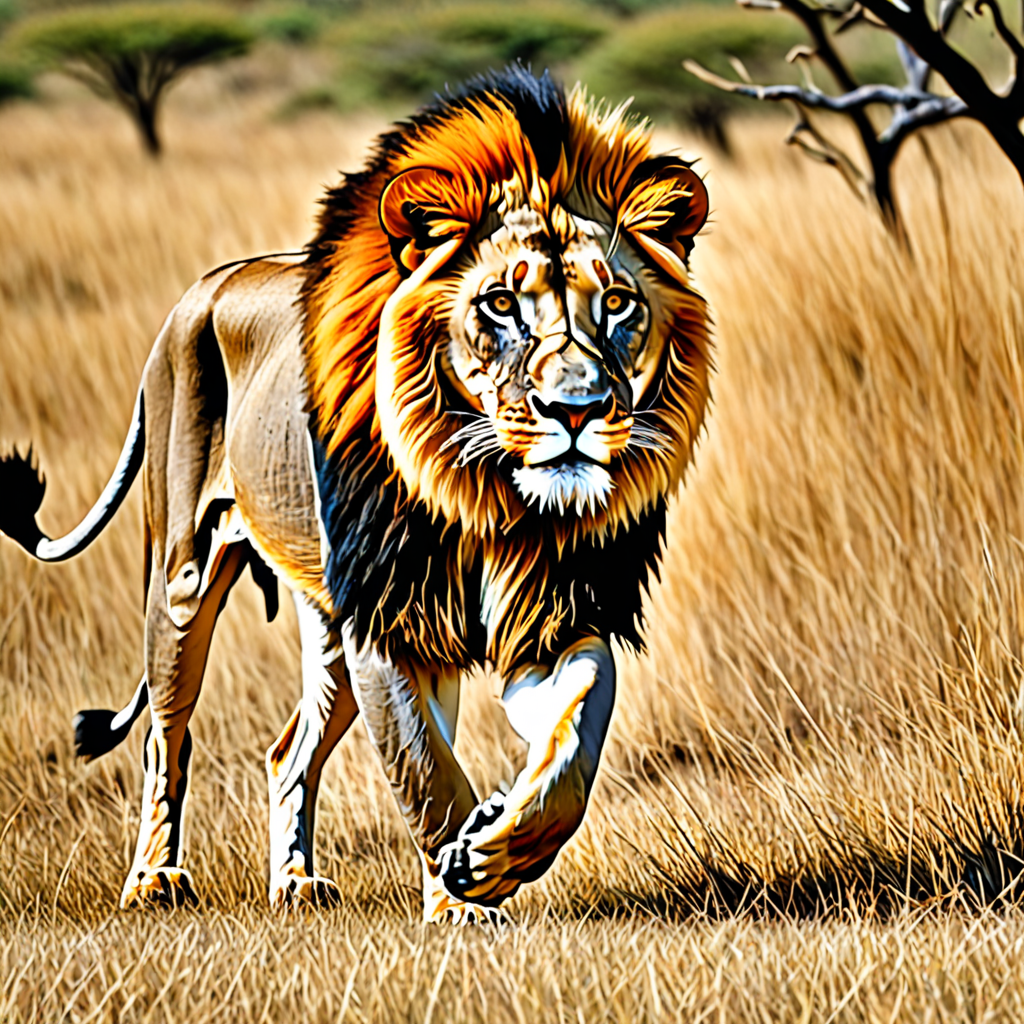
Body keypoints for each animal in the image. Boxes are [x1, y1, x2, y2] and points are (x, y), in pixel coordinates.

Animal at [0, 67, 711, 922]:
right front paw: (462, 895)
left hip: (329, 619)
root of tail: (198, 292)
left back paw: (296, 883)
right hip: (184, 580)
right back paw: (155, 880)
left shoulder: (551, 615)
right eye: (500, 304)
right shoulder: (390, 622)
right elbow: (427, 769)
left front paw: (492, 856)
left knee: (286, 751)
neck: (483, 495)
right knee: (165, 735)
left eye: (616, 303)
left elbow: (573, 743)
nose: (575, 409)